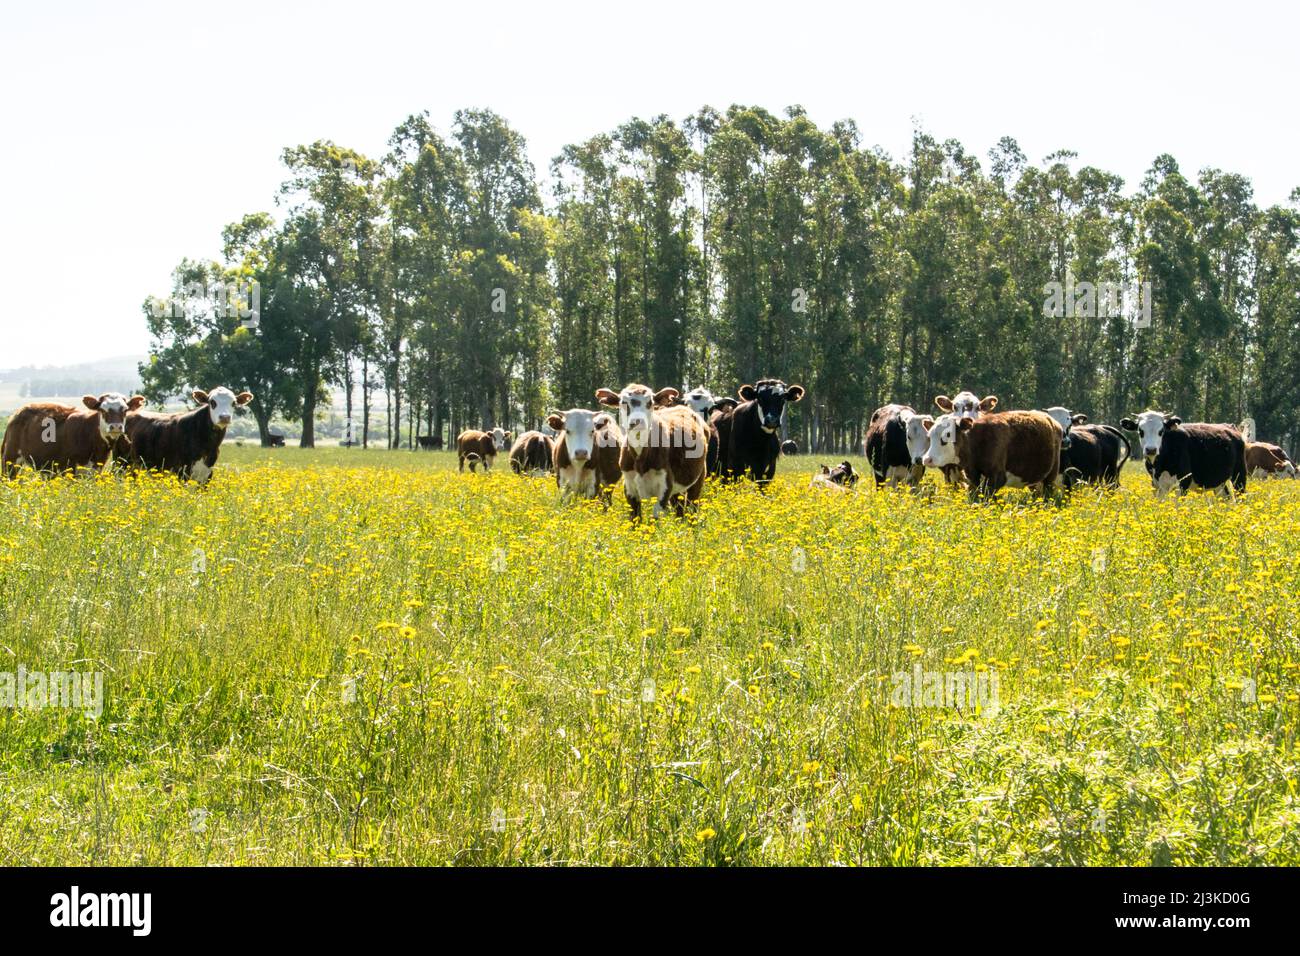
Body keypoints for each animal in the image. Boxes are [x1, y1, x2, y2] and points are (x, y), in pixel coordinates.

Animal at [1, 392, 145, 477]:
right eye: (102, 410)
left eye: (125, 410)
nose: (116, 426)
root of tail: (19, 412)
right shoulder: (69, 468)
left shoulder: (95, 469)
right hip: (11, 458)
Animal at [596, 384, 707, 518]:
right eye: (623, 402)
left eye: (650, 403)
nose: (637, 421)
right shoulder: (629, 487)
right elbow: (635, 518)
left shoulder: (664, 487)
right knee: (679, 509)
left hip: (698, 479)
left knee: (692, 506)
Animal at [922, 410, 1062, 501]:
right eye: (929, 436)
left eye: (948, 435)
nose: (927, 459)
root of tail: (1054, 423)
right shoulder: (972, 475)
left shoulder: (996, 477)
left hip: (1051, 476)